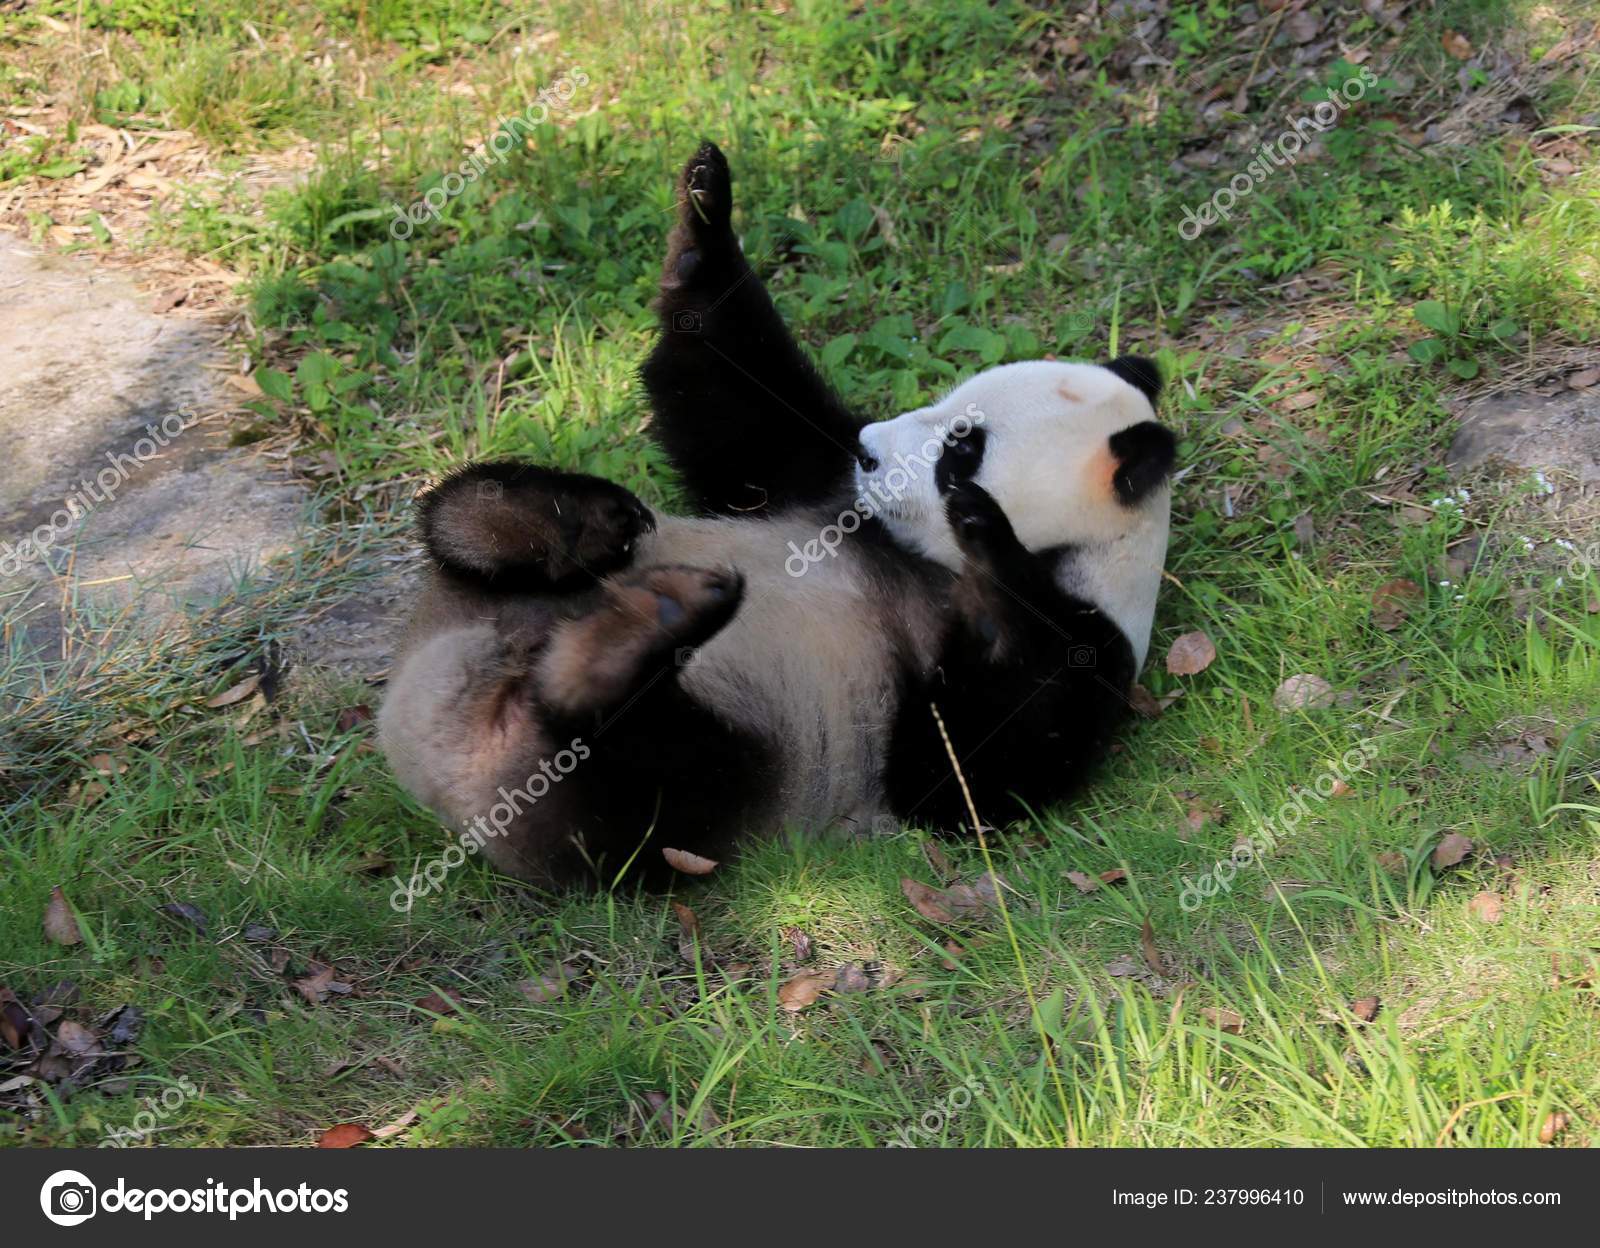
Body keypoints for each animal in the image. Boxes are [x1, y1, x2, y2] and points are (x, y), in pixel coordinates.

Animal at [378, 141, 1176, 890]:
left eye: (962, 446)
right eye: (948, 405)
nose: (870, 452)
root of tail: (437, 723)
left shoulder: (1093, 644)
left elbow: (960, 778)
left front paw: (991, 556)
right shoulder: (817, 486)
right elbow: (739, 410)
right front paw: (705, 211)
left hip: (709, 780)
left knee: (636, 781)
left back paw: (623, 642)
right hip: (486, 592)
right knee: (466, 512)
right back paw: (565, 524)